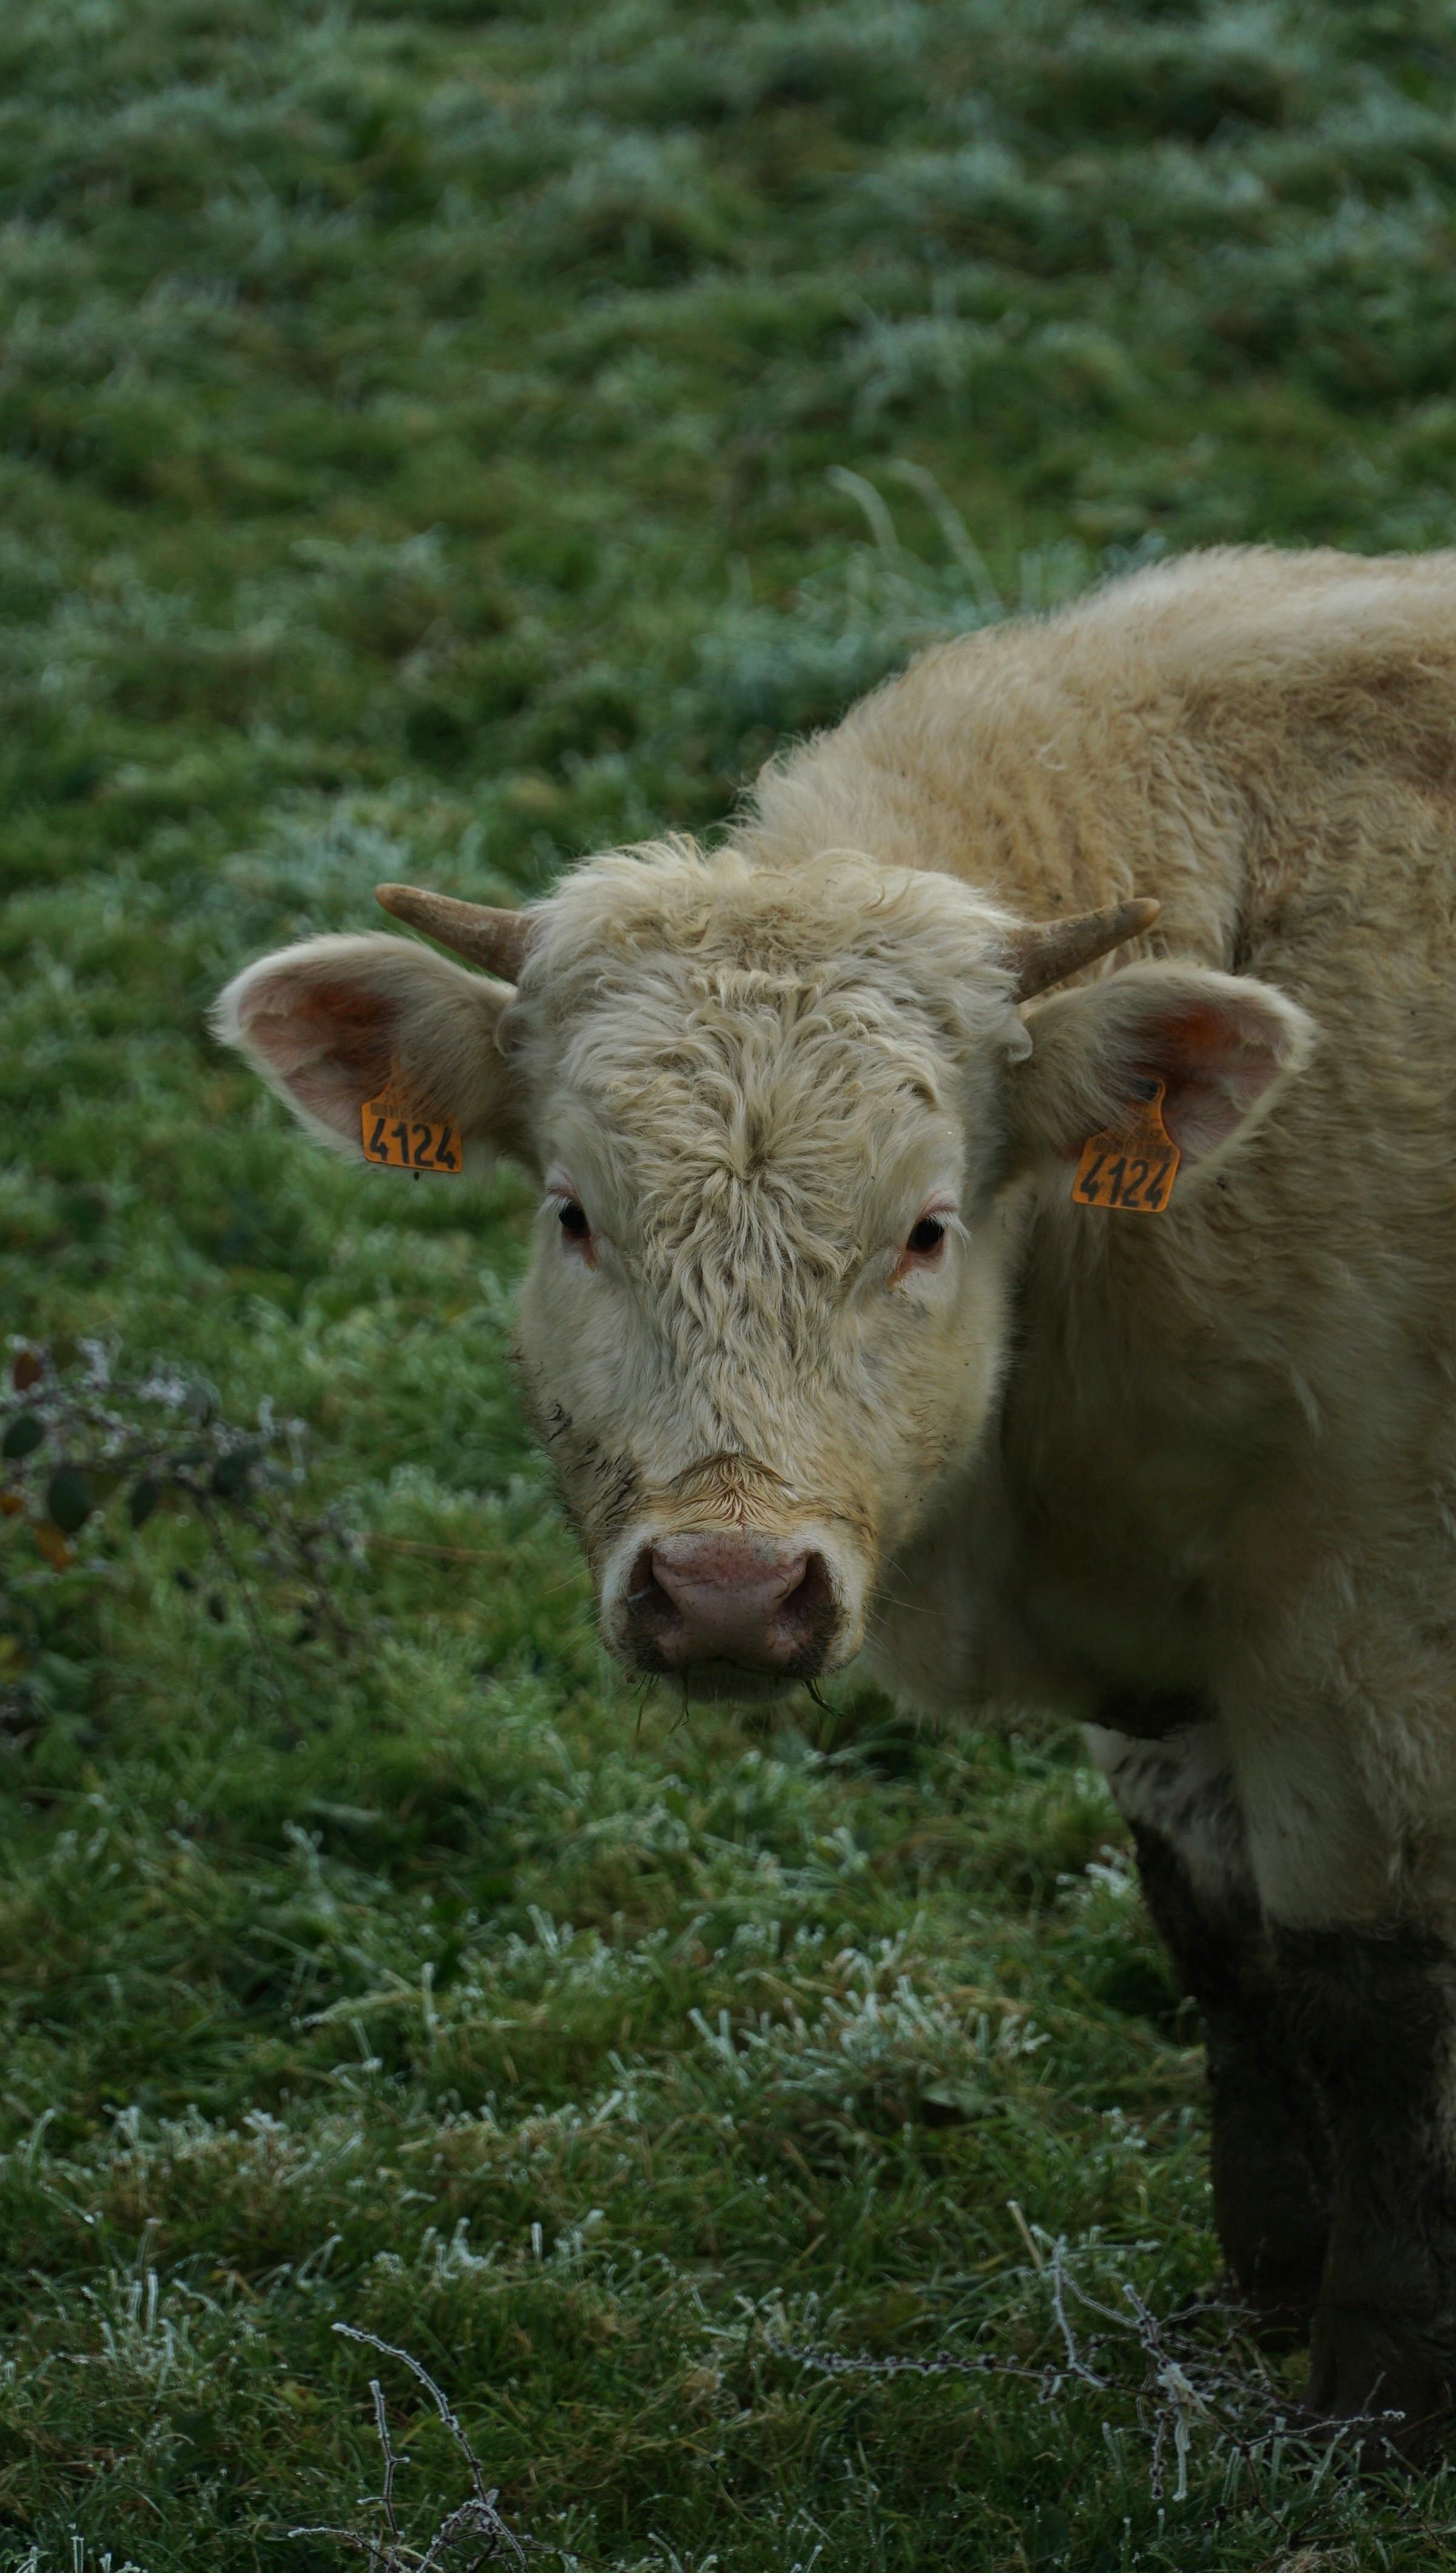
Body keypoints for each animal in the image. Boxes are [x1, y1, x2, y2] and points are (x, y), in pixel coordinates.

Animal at [218, 545, 1456, 2451]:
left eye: (926, 1225)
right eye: (572, 1211)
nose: (729, 1587)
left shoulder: (1352, 1626)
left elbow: (1365, 2001)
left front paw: (1375, 2395)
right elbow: (1219, 1942)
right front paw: (1267, 2273)